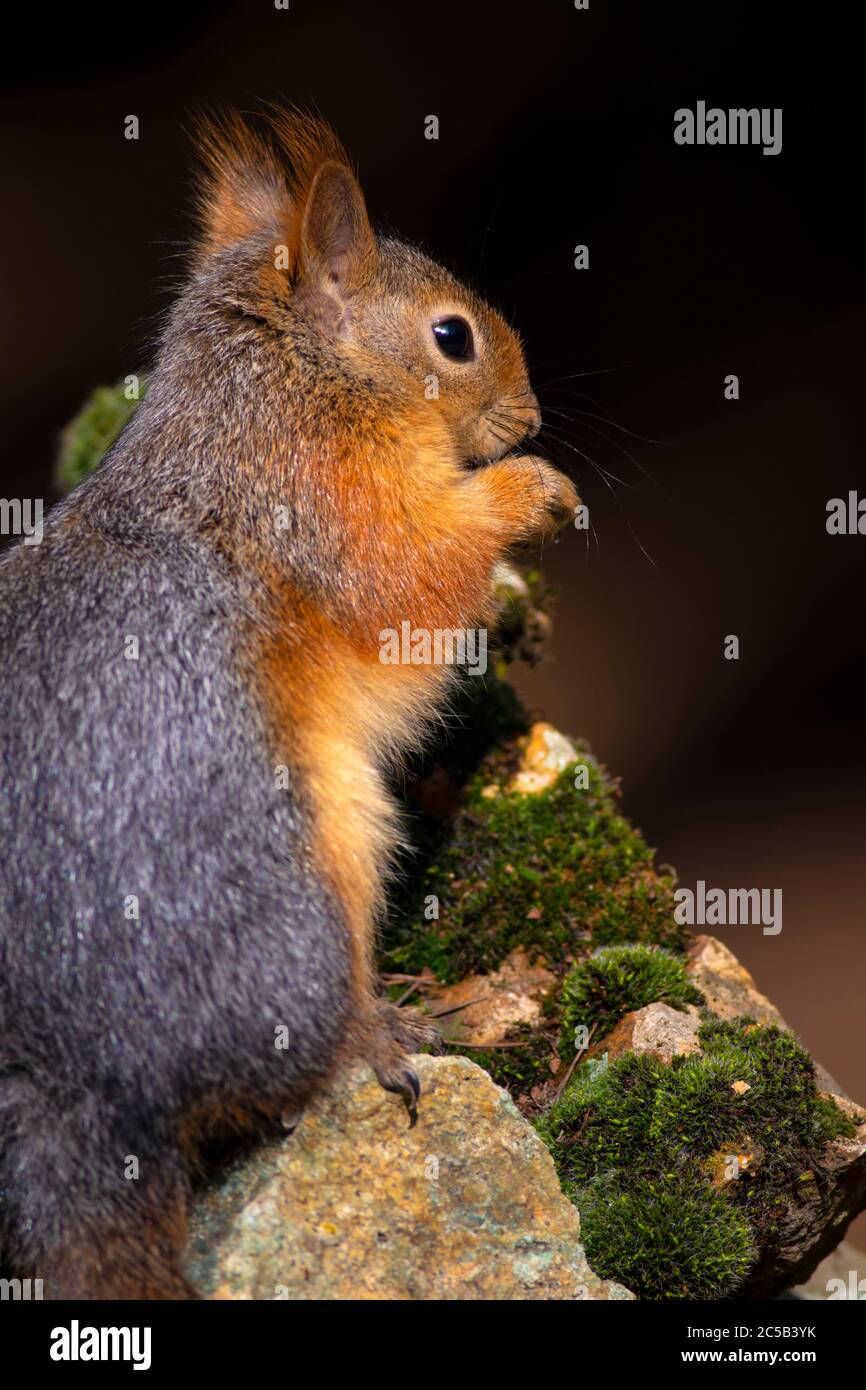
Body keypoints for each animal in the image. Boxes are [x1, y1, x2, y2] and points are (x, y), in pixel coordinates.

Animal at [0, 110, 577, 1299]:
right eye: (452, 337)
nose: (532, 413)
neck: (275, 388)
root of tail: (76, 1081)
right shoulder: (328, 505)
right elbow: (415, 573)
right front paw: (531, 495)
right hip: (314, 871)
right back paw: (396, 1029)